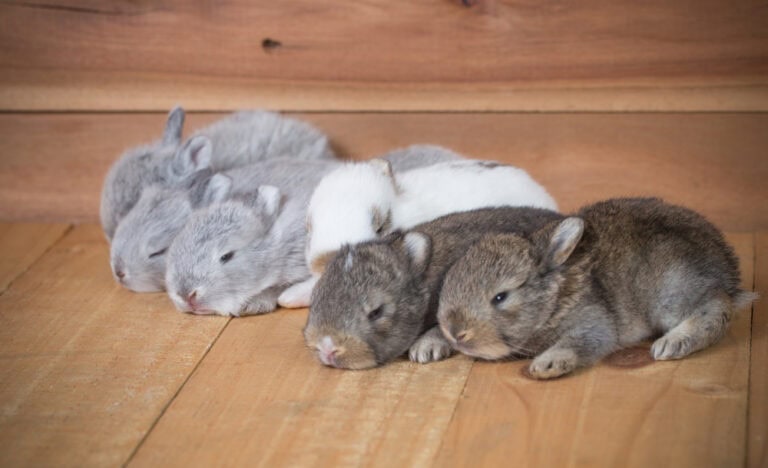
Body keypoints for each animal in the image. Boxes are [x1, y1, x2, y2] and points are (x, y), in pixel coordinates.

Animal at [437, 198, 758, 380]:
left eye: (500, 296)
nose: (455, 332)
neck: (554, 298)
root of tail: (728, 273)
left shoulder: (592, 321)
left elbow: (581, 342)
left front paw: (547, 365)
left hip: (672, 291)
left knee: (715, 307)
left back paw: (671, 344)